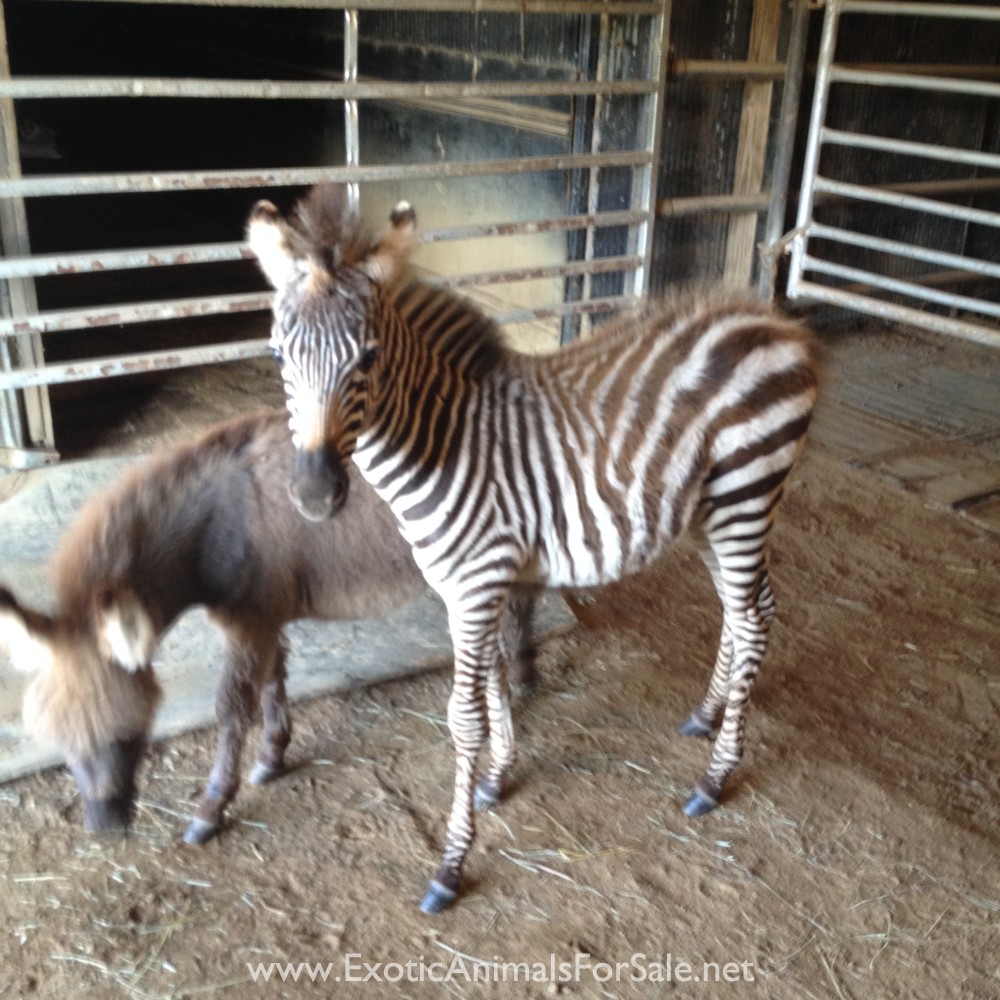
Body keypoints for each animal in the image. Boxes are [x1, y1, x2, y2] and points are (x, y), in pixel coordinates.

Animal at [248, 183, 819, 914]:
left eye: (368, 357)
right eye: (277, 355)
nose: (316, 494)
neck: (445, 439)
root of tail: (771, 320)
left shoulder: (476, 583)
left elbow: (463, 714)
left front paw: (451, 863)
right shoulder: (477, 584)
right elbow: (494, 679)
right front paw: (498, 777)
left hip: (747, 496)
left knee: (749, 620)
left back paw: (714, 779)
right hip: (713, 511)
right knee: (749, 609)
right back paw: (705, 715)